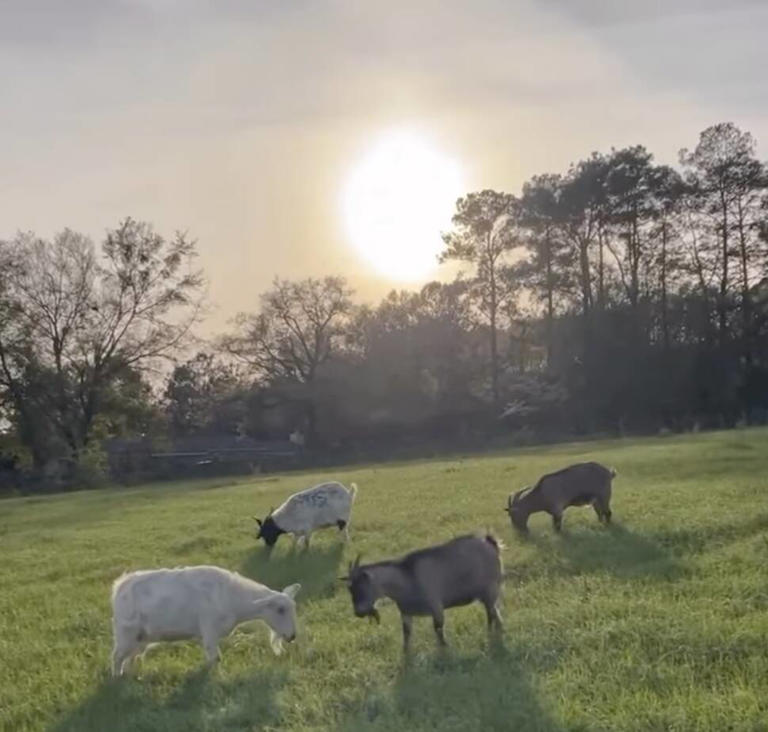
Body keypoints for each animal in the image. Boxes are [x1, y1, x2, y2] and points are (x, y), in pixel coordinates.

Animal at [110, 565, 300, 676]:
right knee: (117, 657)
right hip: (126, 633)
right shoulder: (209, 629)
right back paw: (117, 678)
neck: (233, 597)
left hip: (141, 638)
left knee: (130, 657)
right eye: (280, 610)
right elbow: (215, 658)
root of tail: (120, 586)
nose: (292, 636)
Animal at [342, 533, 503, 651]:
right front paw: (406, 654)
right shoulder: (406, 612)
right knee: (495, 610)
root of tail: (489, 542)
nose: (358, 612)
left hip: (489, 588)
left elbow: (438, 630)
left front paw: (444, 651)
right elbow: (406, 634)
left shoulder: (436, 606)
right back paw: (499, 629)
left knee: (490, 613)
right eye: (349, 589)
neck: (406, 578)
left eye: (361, 586)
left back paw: (490, 633)